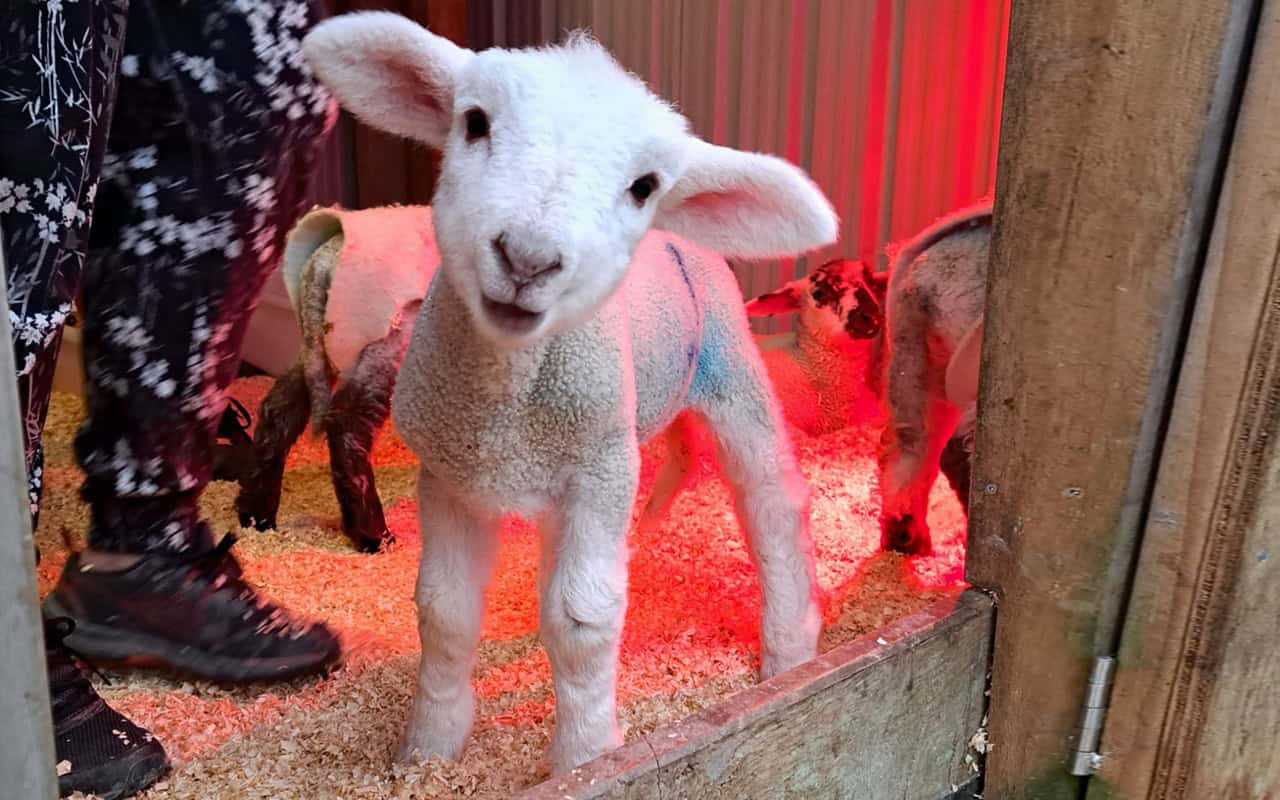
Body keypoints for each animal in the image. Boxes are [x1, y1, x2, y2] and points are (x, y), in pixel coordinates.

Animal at [234, 205, 437, 553]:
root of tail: (321, 263)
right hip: (386, 342)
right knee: (348, 423)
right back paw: (373, 535)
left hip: (315, 347)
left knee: (280, 409)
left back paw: (257, 515)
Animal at [303, 13, 838, 773]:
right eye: (474, 121)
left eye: (644, 185)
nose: (527, 258)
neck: (507, 397)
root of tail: (682, 231)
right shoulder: (452, 477)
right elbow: (444, 611)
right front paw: (430, 748)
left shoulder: (595, 470)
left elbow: (582, 620)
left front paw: (586, 759)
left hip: (727, 368)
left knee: (771, 499)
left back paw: (790, 649)